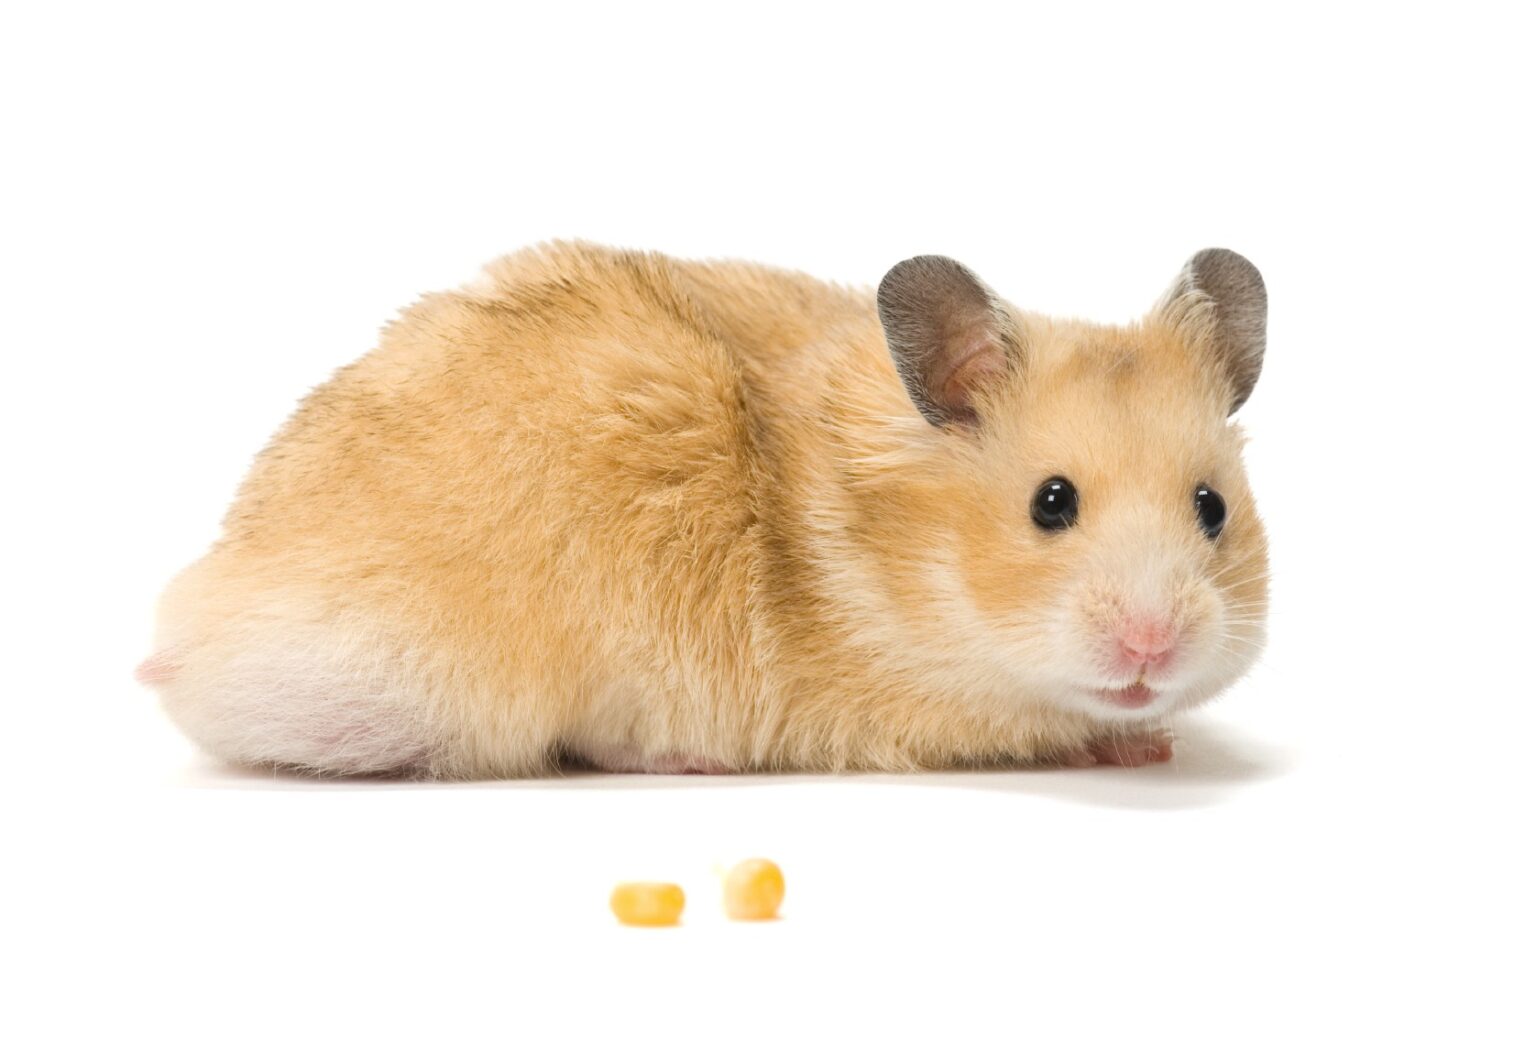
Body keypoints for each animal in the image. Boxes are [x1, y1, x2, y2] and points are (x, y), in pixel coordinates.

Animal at [139, 242, 1269, 777]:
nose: (1154, 648)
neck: (910, 563)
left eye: (1213, 508)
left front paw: (1151, 743)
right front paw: (1126, 745)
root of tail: (195, 635)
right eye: (1050, 503)